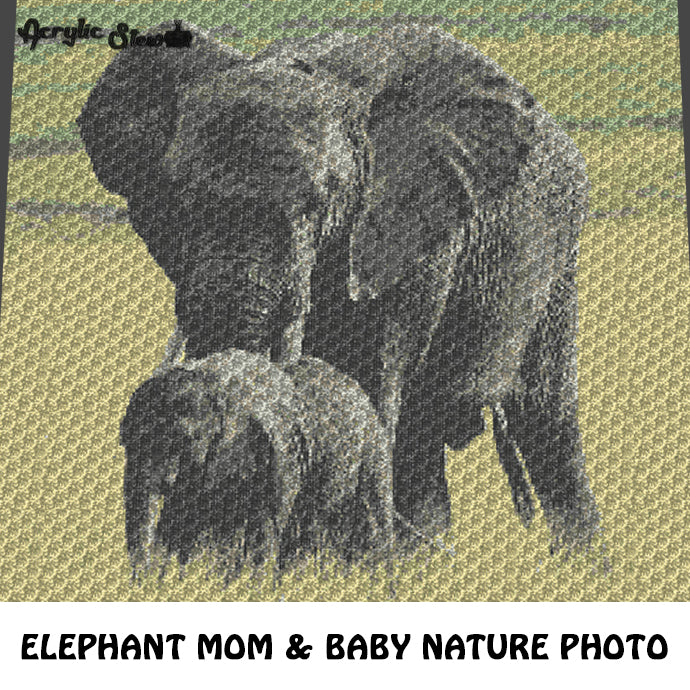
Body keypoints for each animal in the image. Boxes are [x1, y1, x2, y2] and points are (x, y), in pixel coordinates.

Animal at [78, 21, 601, 571]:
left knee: (544, 421)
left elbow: (369, 375)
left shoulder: (417, 228)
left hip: (557, 250)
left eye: (319, 201)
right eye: (178, 195)